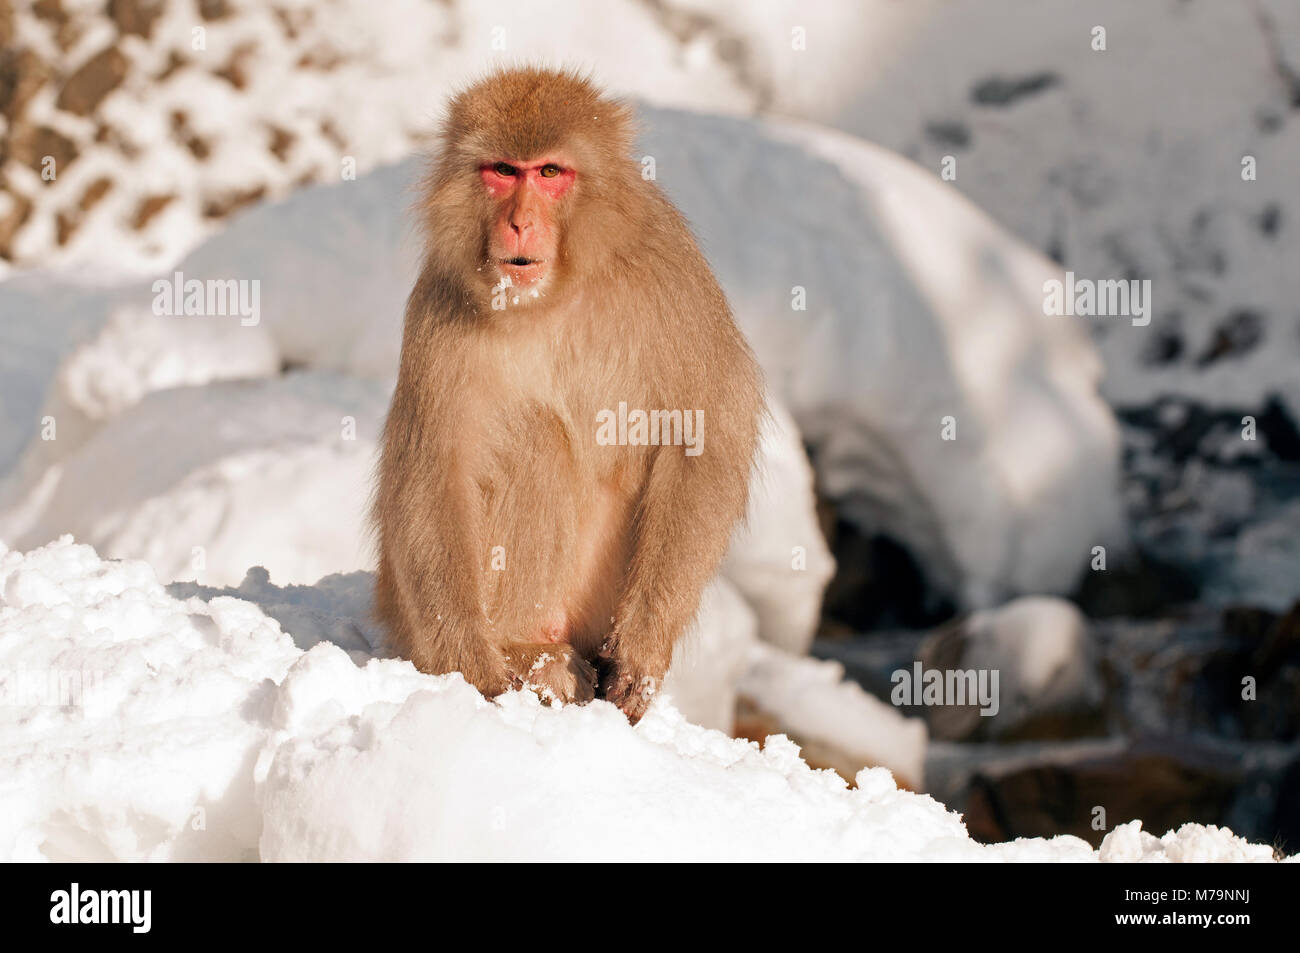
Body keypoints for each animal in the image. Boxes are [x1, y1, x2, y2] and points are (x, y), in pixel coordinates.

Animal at [372, 67, 763, 724]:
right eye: (504, 171)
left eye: (550, 173)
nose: (519, 222)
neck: (552, 295)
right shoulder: (439, 306)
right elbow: (433, 476)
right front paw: (475, 665)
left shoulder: (669, 271)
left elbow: (704, 433)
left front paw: (642, 651)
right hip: (414, 619)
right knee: (533, 438)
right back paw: (526, 654)